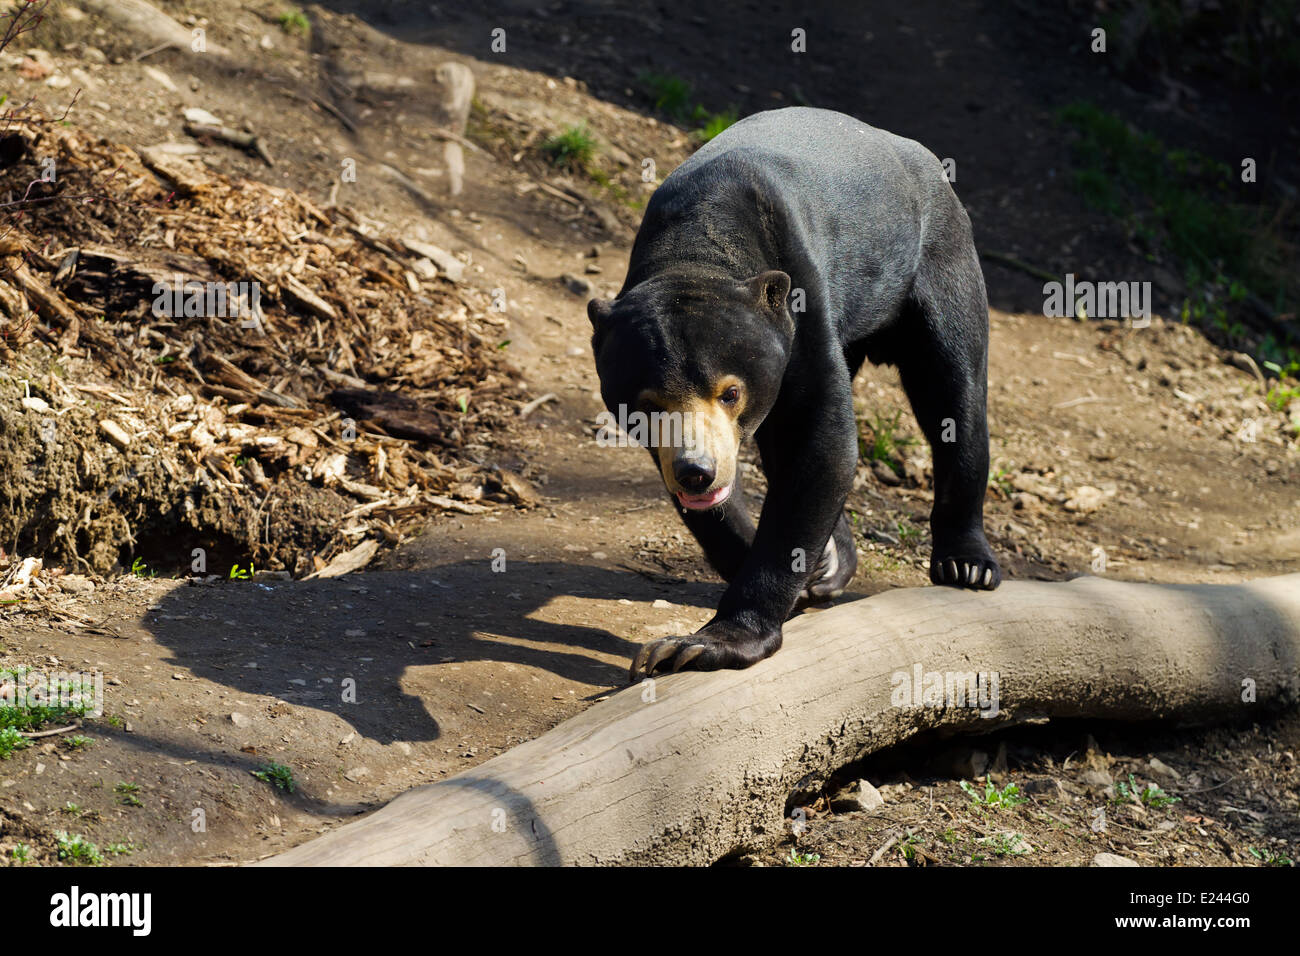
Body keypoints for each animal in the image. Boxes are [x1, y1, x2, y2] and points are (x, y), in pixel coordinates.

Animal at [588, 107, 1001, 681]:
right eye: (647, 406)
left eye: (730, 392)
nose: (697, 471)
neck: (697, 247)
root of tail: (909, 149)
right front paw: (802, 570)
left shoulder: (801, 307)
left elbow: (820, 439)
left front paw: (700, 645)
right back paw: (834, 560)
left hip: (937, 258)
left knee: (954, 392)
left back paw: (967, 564)